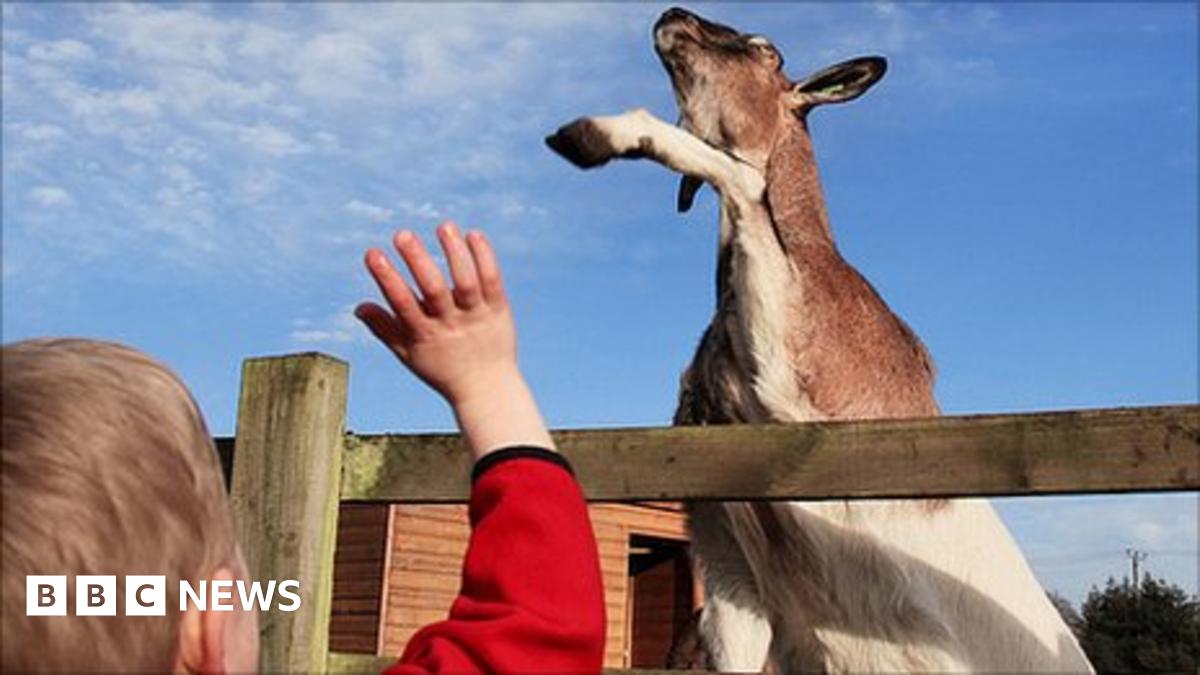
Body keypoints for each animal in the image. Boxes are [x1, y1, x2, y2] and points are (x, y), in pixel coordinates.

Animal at [547, 7, 1093, 673]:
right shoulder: (728, 562)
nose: (674, 16)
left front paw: (593, 134)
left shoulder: (793, 385)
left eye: (767, 50)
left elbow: (743, 183)